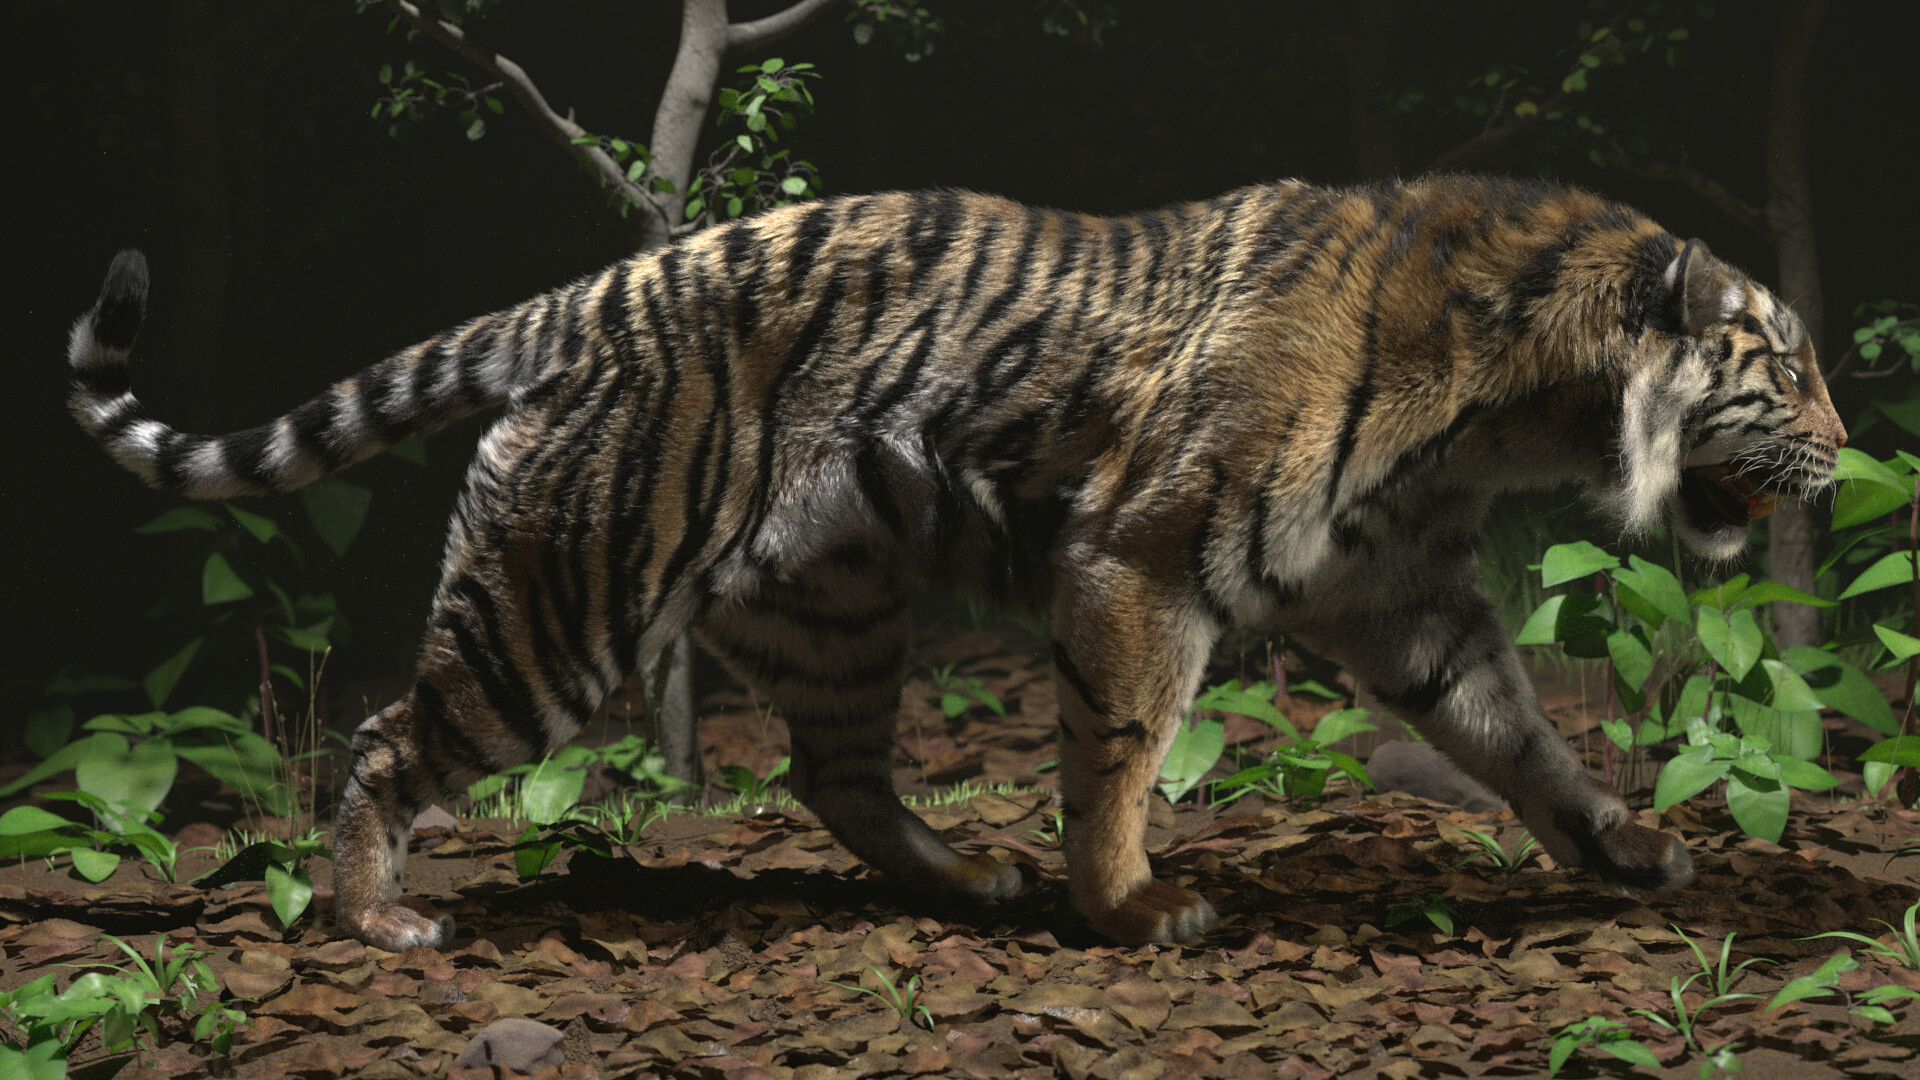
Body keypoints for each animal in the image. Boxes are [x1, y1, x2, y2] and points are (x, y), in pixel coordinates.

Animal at [65, 175, 1845, 950]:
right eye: (1791, 368)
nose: (1850, 449)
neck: (1510, 406)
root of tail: (578, 298)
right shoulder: (1138, 558)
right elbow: (1120, 751)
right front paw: (1131, 906)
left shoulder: (1405, 599)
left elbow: (1522, 739)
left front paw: (1628, 853)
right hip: (565, 604)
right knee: (386, 737)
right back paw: (376, 920)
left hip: (836, 609)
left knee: (838, 777)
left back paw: (966, 880)